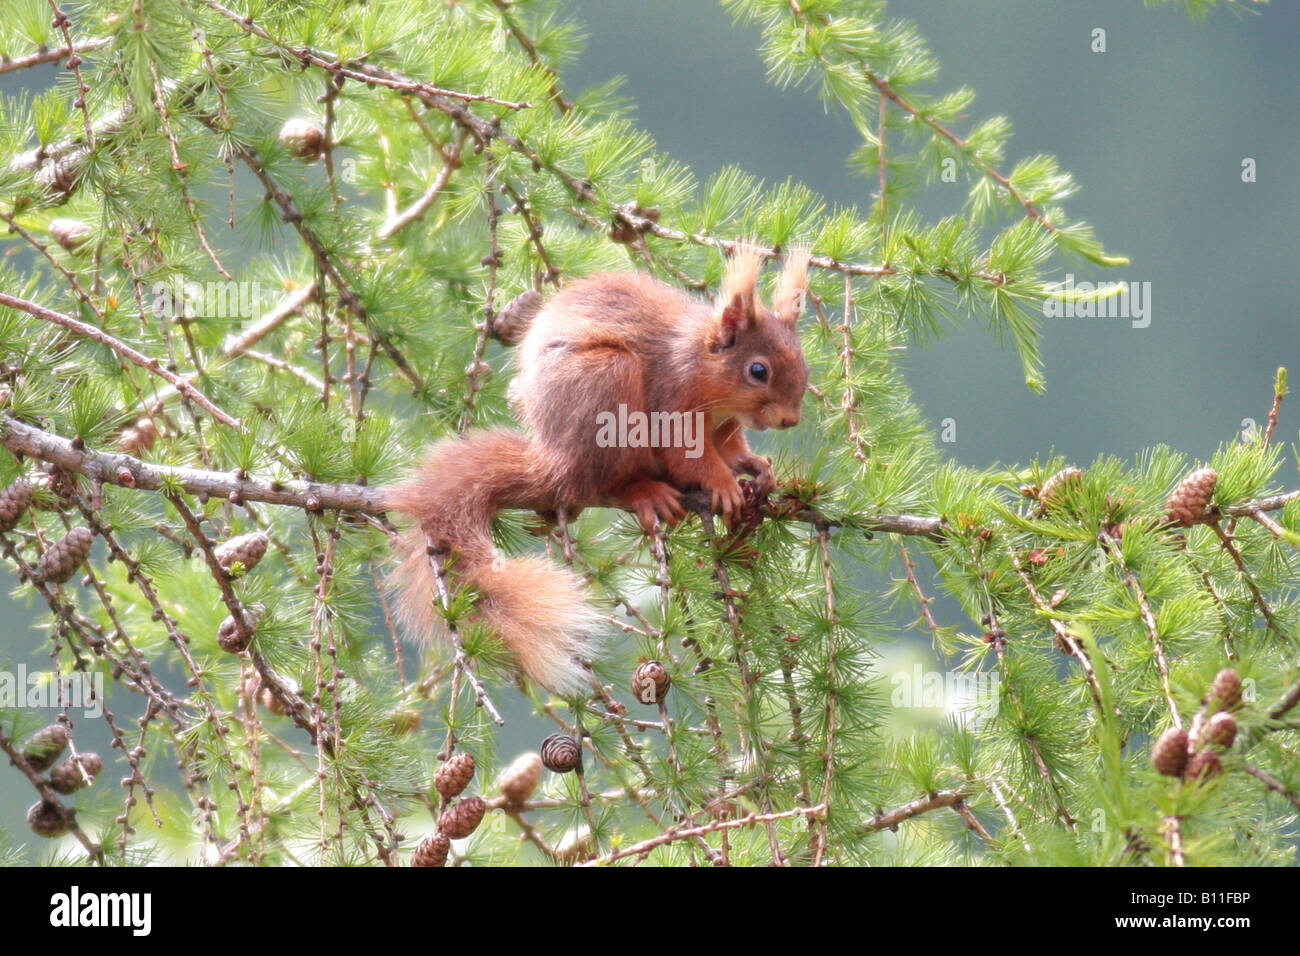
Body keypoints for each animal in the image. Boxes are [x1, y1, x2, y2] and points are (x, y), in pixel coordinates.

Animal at [385, 244, 811, 696]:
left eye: (803, 364)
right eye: (758, 370)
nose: (790, 420)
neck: (701, 361)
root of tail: (556, 462)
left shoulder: (726, 426)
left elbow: (731, 450)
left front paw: (757, 468)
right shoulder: (674, 398)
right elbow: (689, 454)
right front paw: (724, 484)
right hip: (607, 383)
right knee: (603, 482)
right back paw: (644, 491)